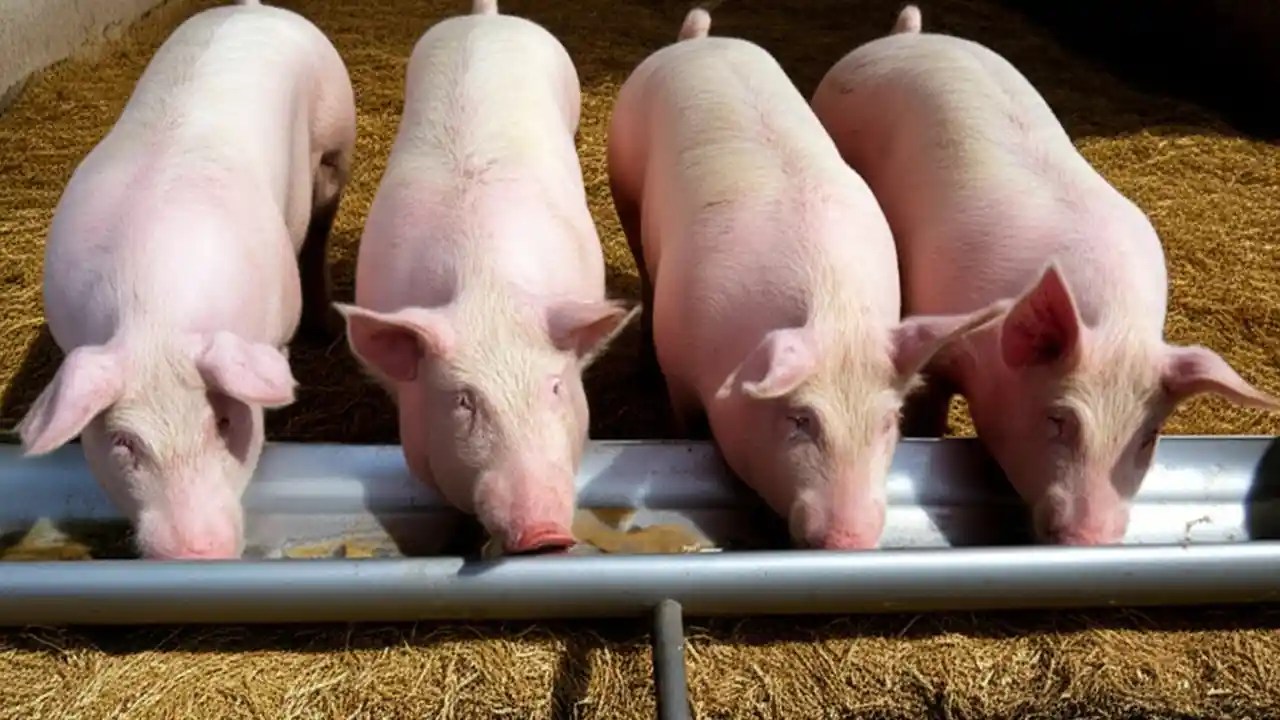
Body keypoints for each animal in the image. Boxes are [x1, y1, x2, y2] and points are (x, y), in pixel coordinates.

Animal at [14, 0, 356, 559]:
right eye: (124, 443)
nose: (195, 553)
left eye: (223, 422)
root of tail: (252, 9)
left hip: (337, 141)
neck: (155, 316)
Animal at [606, 8, 1002, 550]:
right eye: (801, 419)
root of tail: (699, 41)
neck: (832, 305)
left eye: (890, 421)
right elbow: (687, 429)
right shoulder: (682, 381)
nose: (849, 539)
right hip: (622, 183)